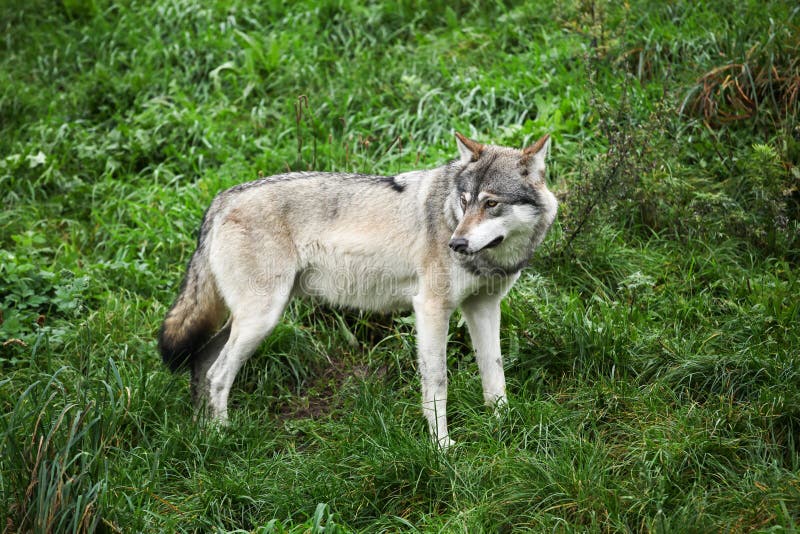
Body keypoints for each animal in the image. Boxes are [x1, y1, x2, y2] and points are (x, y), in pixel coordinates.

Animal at [158, 132, 557, 447]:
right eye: (464, 201)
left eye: (490, 203)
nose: (456, 244)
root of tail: (221, 199)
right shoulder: (430, 308)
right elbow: (438, 381)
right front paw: (442, 448)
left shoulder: (483, 306)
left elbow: (495, 372)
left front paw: (504, 427)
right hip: (262, 319)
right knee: (217, 374)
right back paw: (222, 438)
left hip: (250, 320)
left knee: (201, 364)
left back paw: (202, 433)